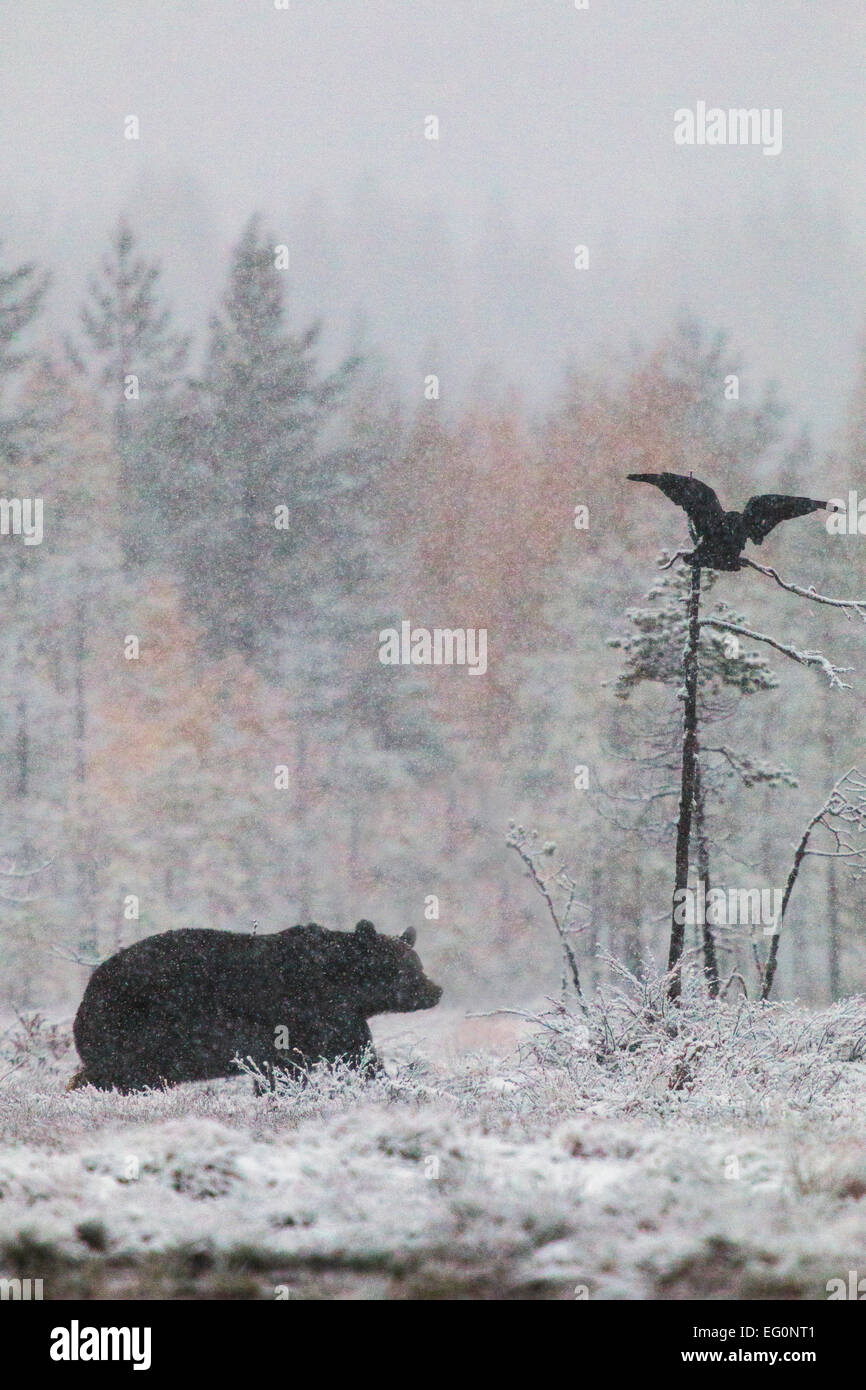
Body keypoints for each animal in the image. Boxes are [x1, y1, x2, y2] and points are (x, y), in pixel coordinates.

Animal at [67, 920, 442, 1092]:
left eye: (417, 964)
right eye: (404, 969)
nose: (435, 990)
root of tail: (91, 986)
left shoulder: (338, 1021)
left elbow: (358, 1054)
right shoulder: (306, 1013)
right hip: (139, 1026)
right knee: (122, 1069)